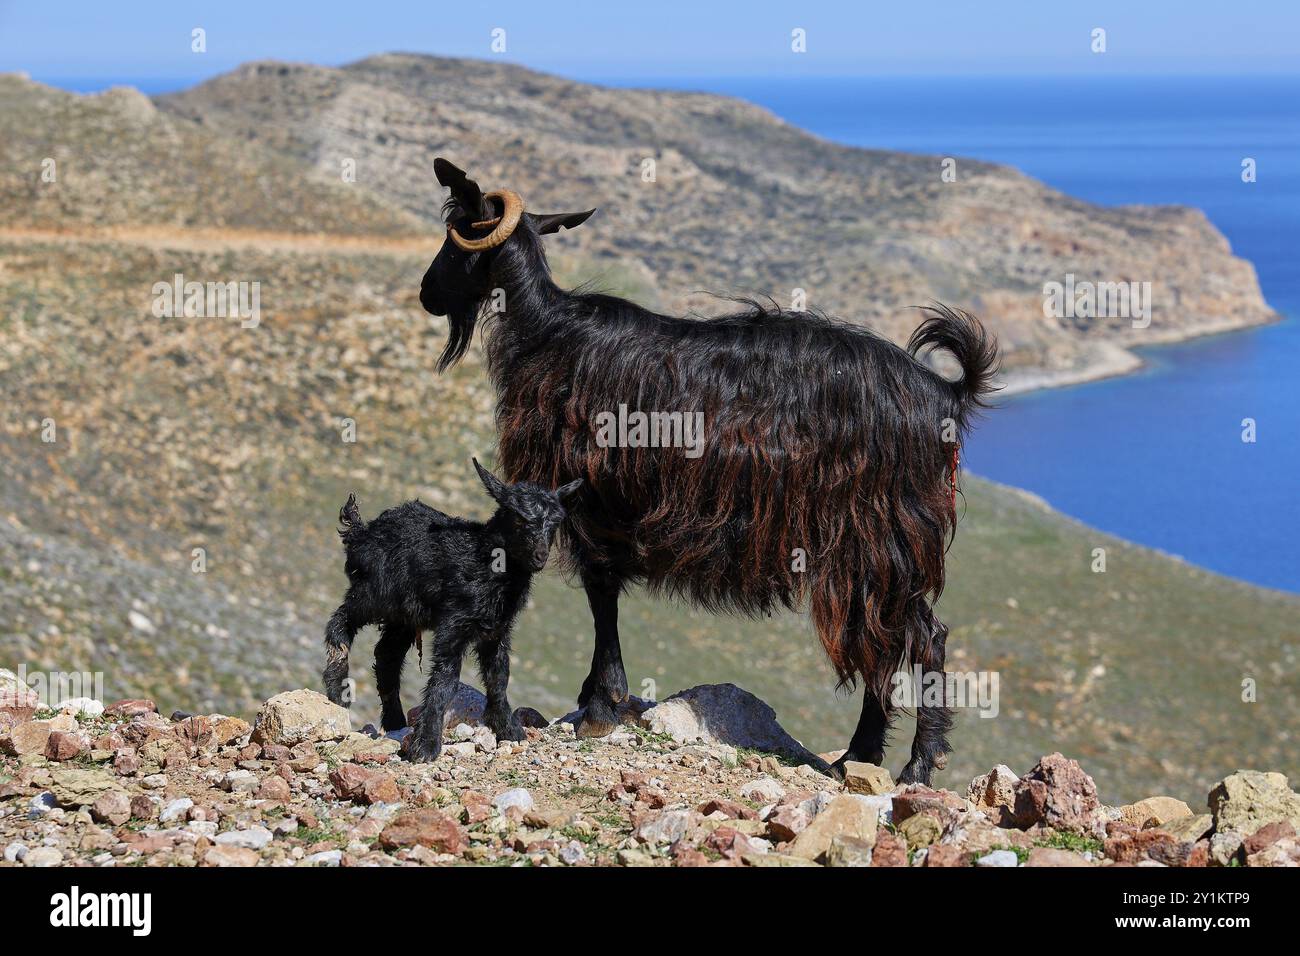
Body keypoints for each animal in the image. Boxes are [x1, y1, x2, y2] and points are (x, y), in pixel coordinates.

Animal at [322, 458, 582, 762]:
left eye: (556, 522)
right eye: (517, 517)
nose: (540, 556)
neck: (484, 561)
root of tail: (362, 533)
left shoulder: (496, 629)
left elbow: (499, 677)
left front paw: (509, 729)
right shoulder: (453, 624)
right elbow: (446, 678)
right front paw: (426, 745)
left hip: (404, 617)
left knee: (387, 655)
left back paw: (395, 721)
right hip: (374, 593)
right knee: (341, 620)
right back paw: (337, 687)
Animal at [419, 158, 998, 784]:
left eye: (454, 236)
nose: (426, 293)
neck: (548, 332)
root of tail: (945, 392)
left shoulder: (591, 501)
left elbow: (601, 593)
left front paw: (601, 704)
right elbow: (605, 593)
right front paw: (600, 697)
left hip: (882, 536)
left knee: (918, 638)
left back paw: (915, 766)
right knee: (884, 640)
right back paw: (860, 755)